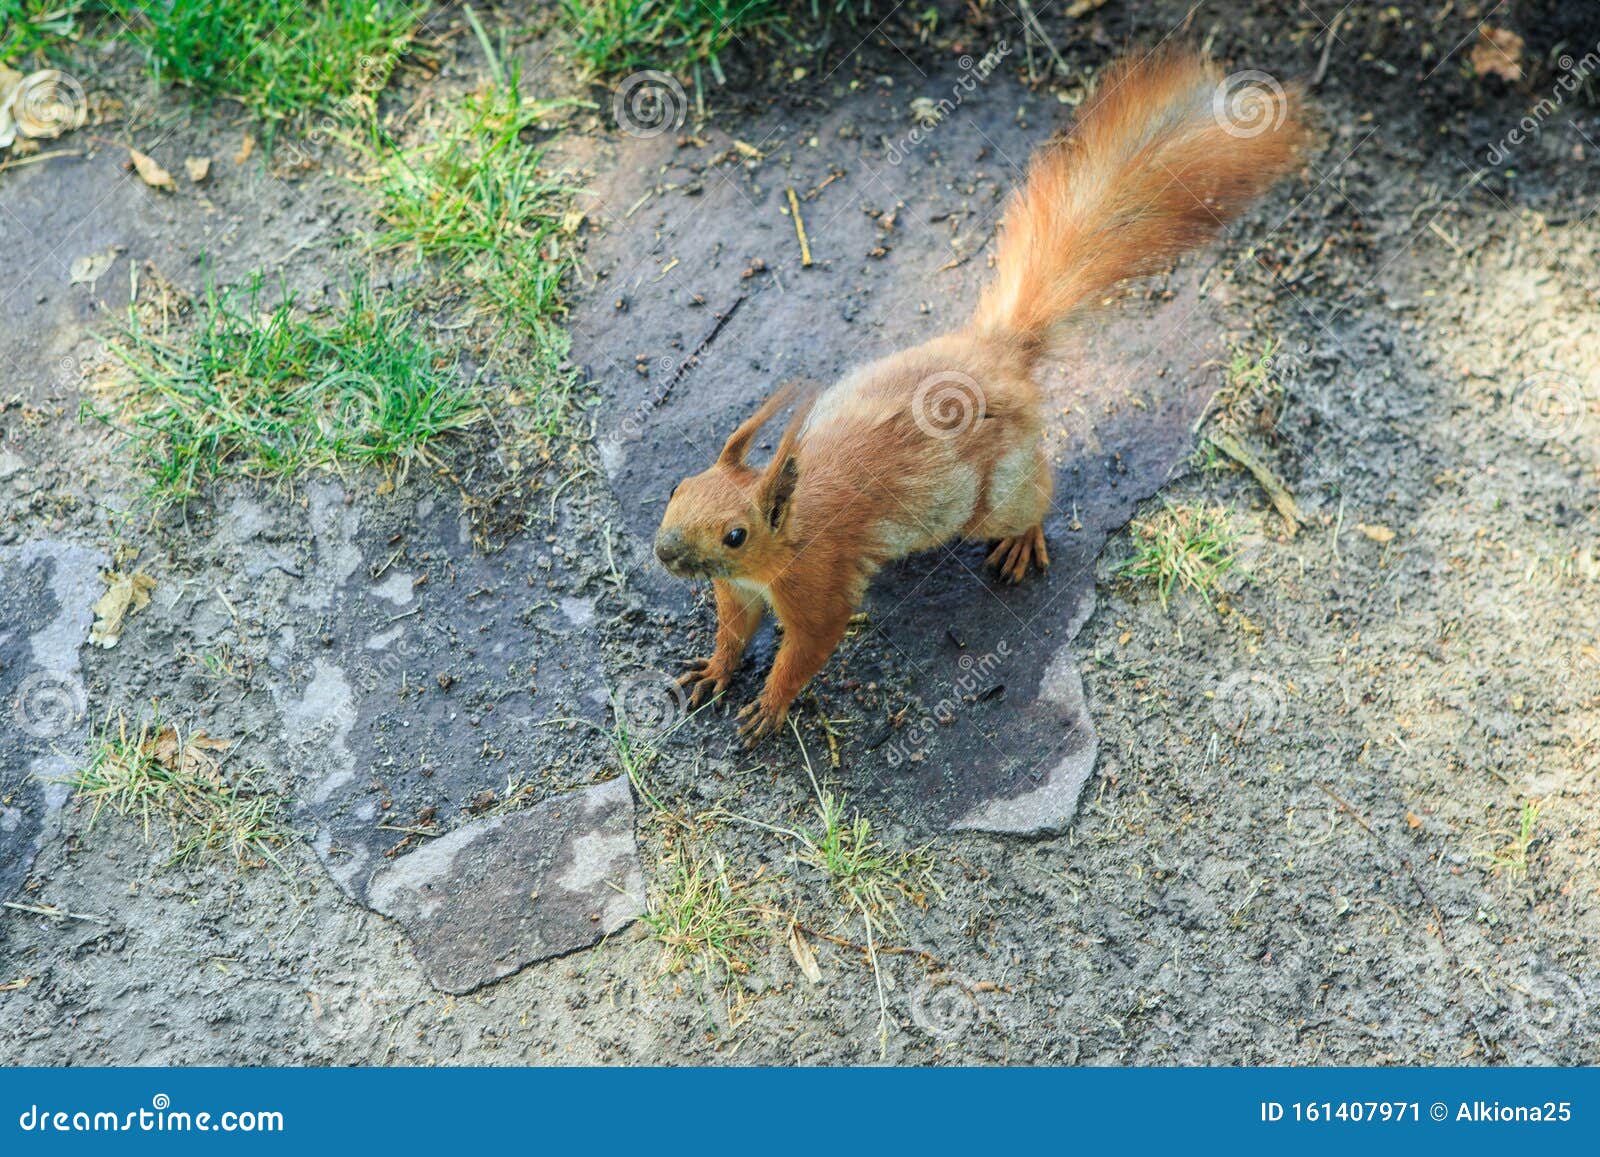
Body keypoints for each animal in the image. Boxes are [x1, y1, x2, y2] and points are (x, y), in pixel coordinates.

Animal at [654, 47, 1306, 743]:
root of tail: (998, 354)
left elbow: (807, 646)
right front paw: (713, 671)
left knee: (1036, 495)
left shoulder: (816, 583)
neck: (785, 536)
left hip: (999, 495)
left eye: (735, 535)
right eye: (677, 490)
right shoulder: (738, 592)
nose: (665, 551)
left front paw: (769, 707)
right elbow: (733, 631)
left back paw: (1023, 542)